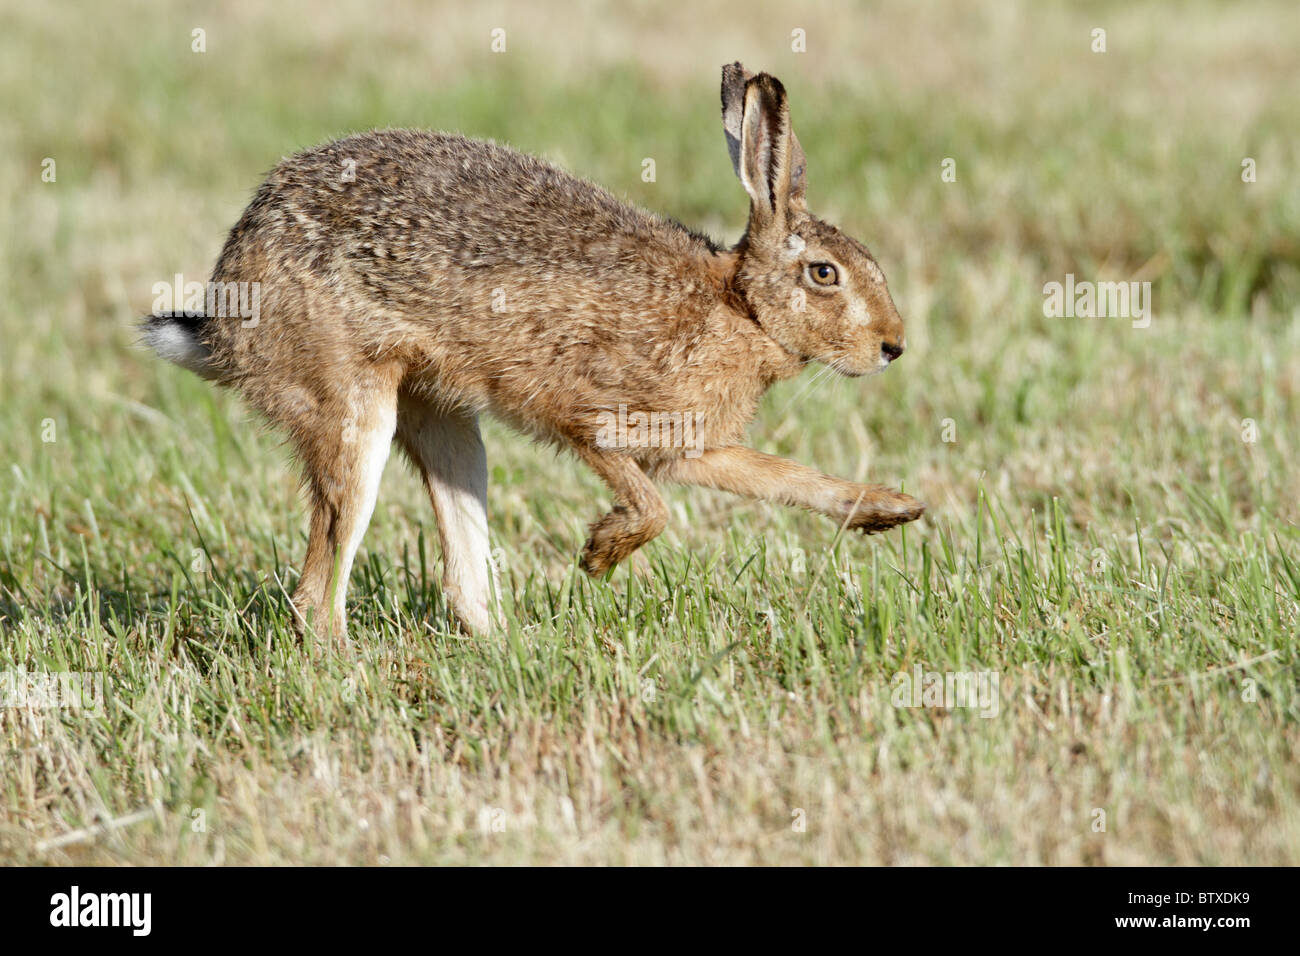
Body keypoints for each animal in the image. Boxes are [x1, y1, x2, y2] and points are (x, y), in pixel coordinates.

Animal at [142, 62, 924, 645]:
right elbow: (651, 507)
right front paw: (599, 556)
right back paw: (348, 669)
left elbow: (785, 478)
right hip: (350, 407)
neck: (742, 309)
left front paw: (892, 510)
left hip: (442, 421)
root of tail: (226, 315)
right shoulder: (591, 416)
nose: (893, 346)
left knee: (458, 575)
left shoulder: (691, 445)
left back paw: (500, 647)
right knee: (318, 583)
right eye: (824, 274)